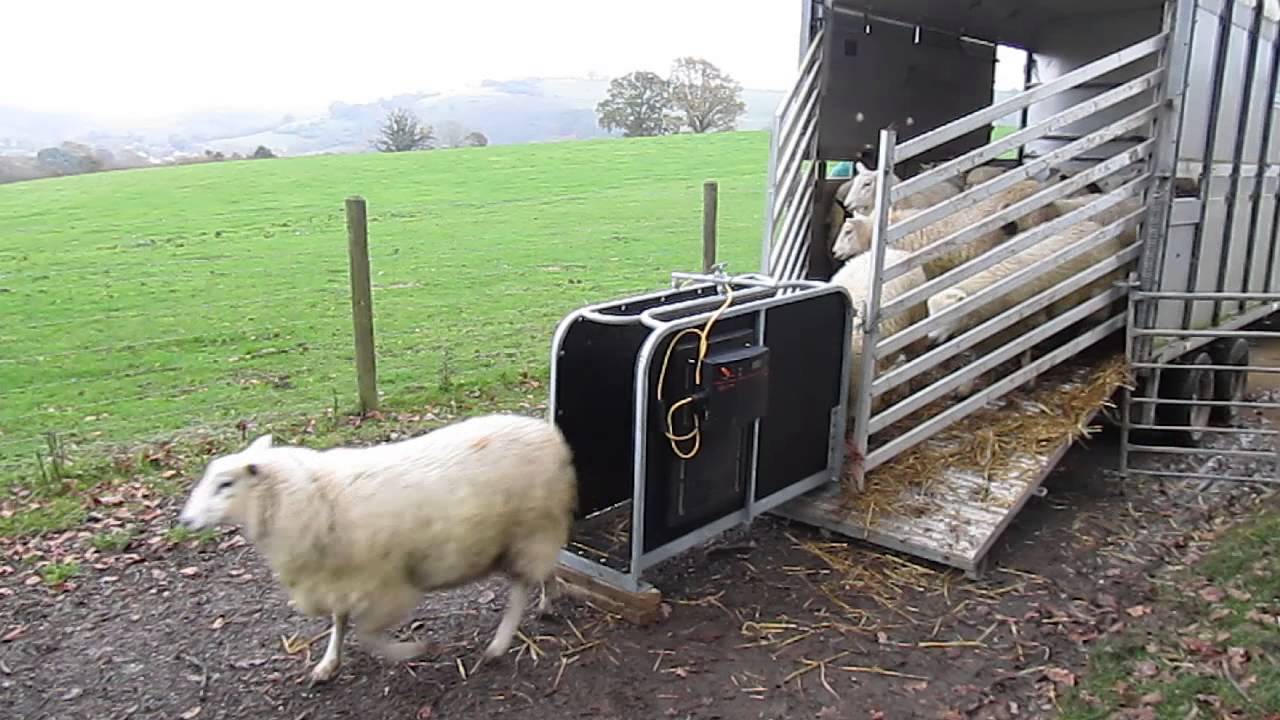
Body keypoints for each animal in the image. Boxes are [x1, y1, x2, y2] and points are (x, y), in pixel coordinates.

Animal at [175, 413, 578, 685]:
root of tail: (548, 432)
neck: (310, 496)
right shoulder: (338, 580)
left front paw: (411, 650)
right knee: (544, 570)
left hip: (529, 531)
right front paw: (328, 664)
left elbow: (368, 635)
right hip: (529, 536)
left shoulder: (385, 586)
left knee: (520, 588)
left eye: (225, 484)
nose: (185, 520)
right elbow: (339, 623)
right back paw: (549, 599)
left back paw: (498, 644)